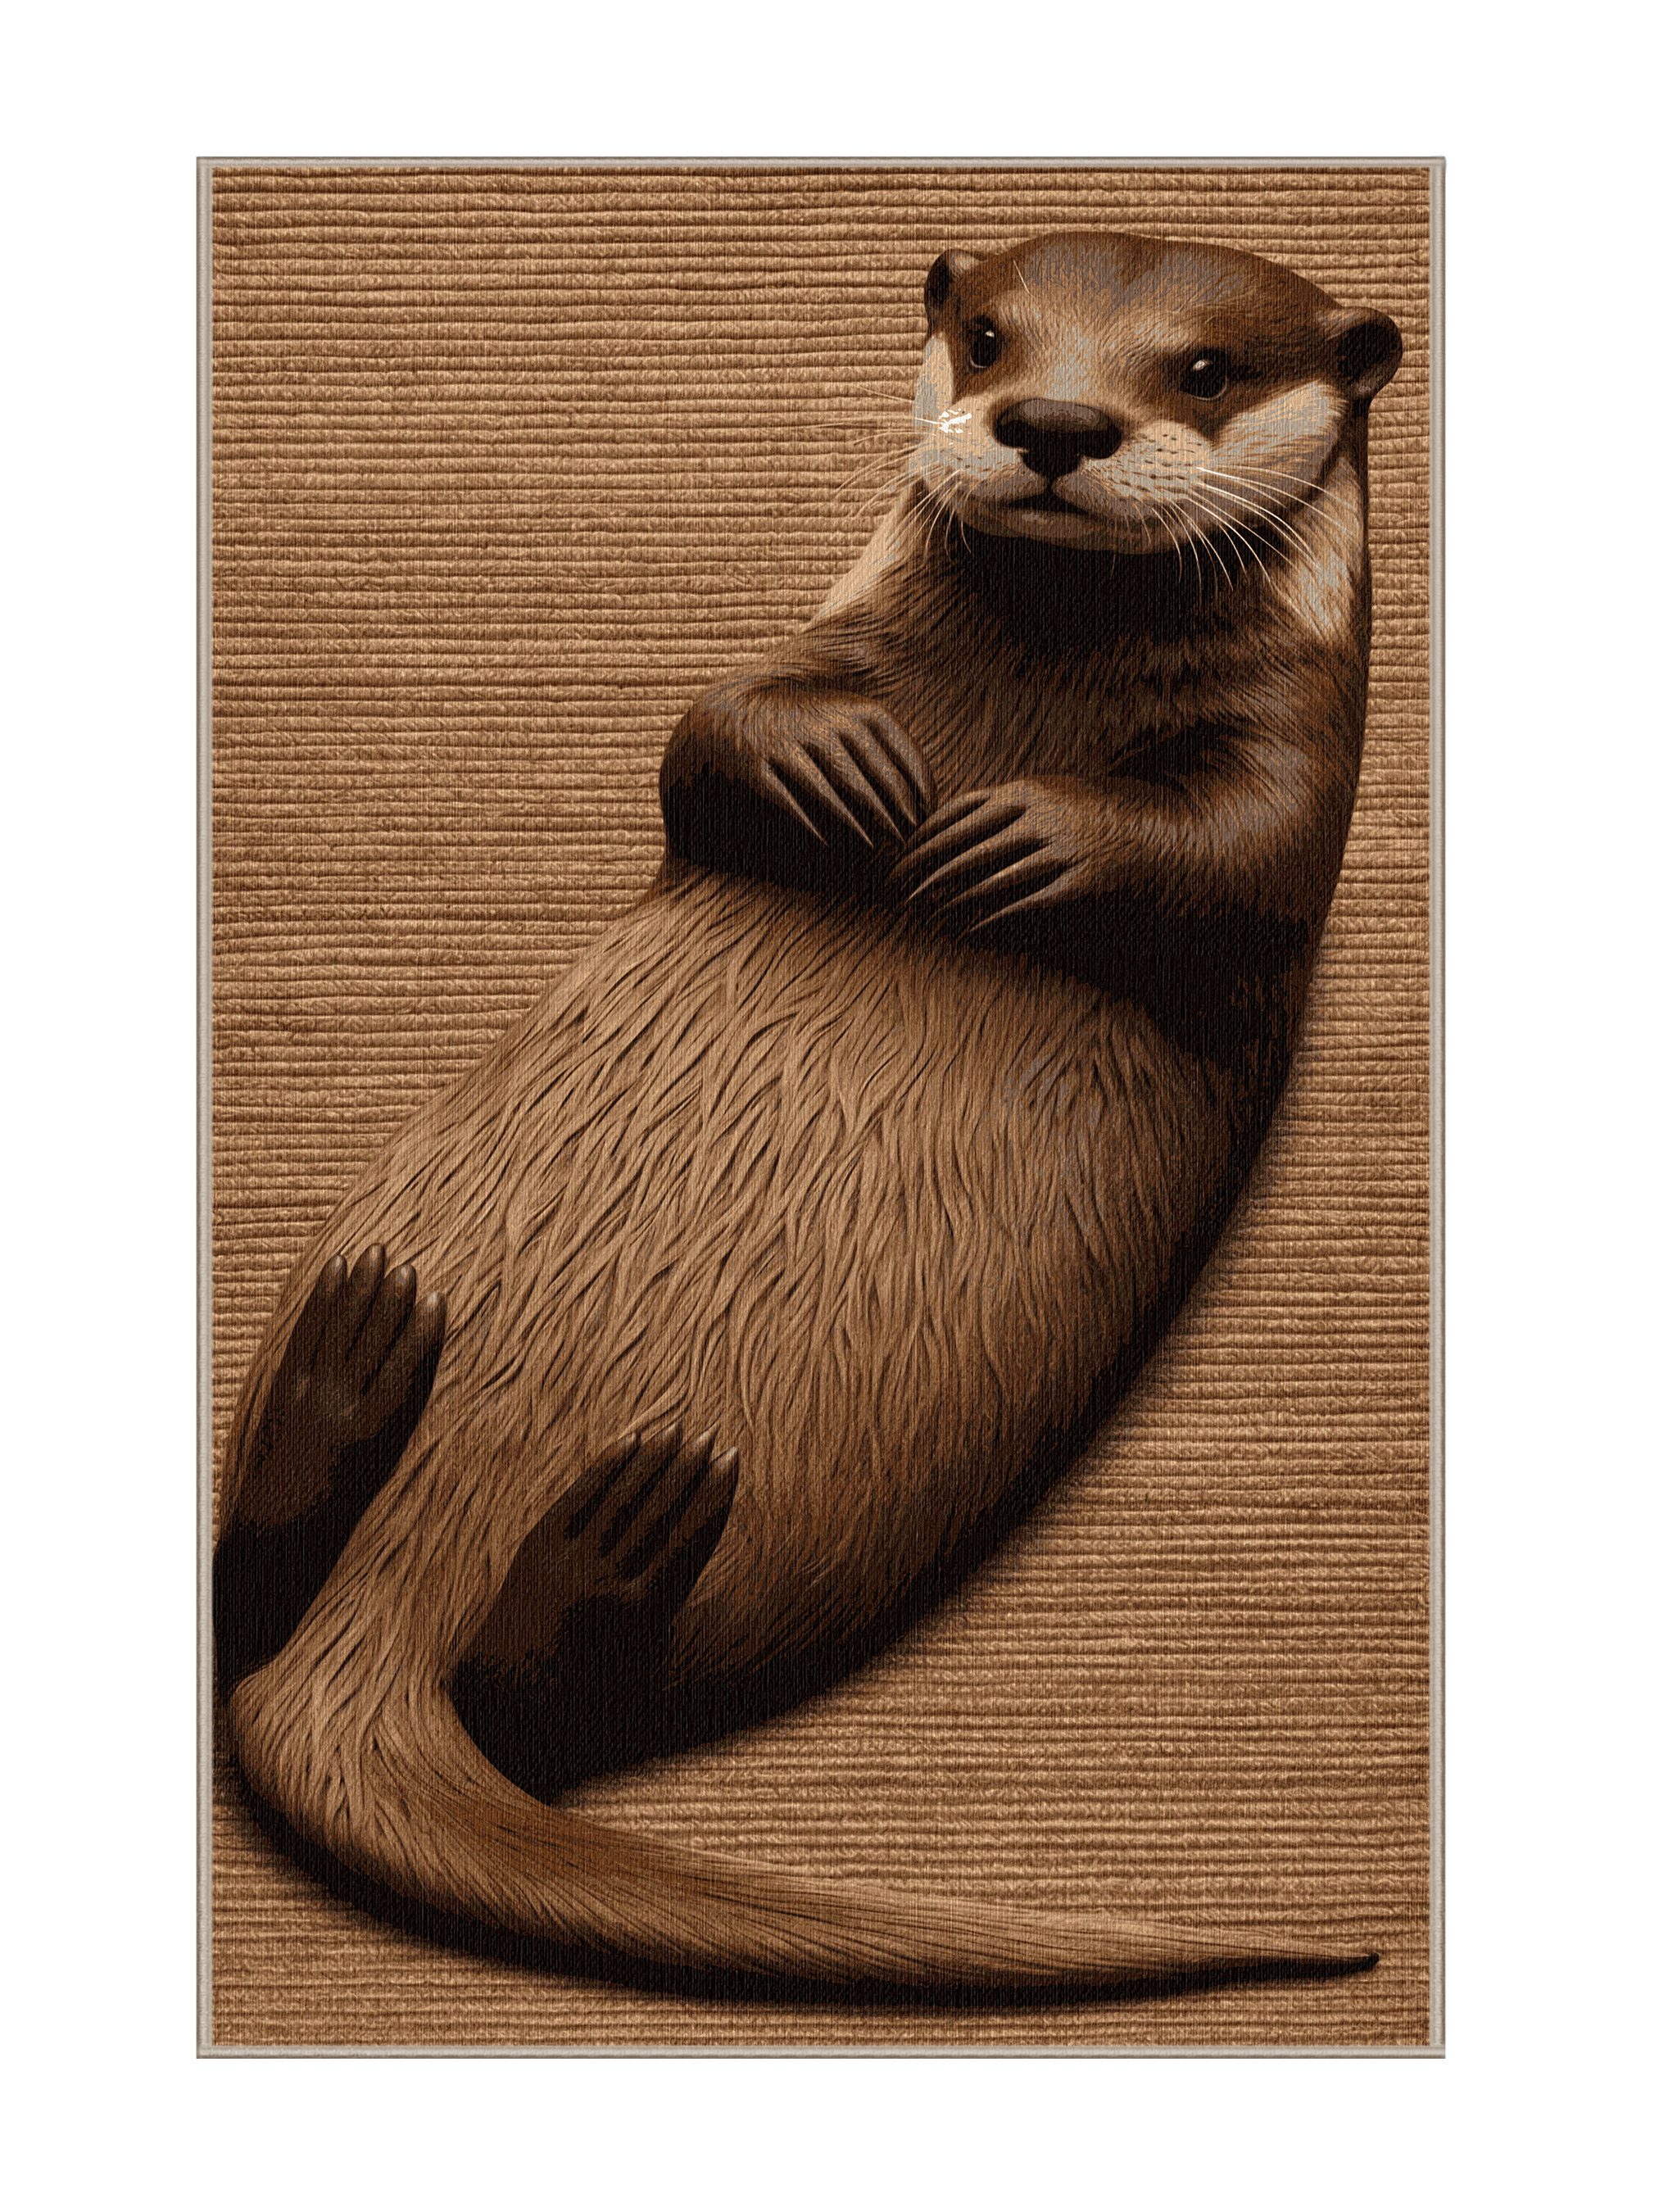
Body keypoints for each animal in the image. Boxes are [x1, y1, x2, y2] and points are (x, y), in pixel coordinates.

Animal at [214, 230, 1402, 1997]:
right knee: (249, 1599)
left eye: (1204, 370)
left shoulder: (1299, 754)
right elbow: (702, 729)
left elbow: (1233, 851)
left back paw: (601, 1541)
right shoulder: (810, 634)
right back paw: (352, 1372)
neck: (1039, 681)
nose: (1054, 423)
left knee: (521, 1702)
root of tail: (383, 1628)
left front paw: (1019, 841)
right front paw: (837, 769)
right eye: (986, 337)